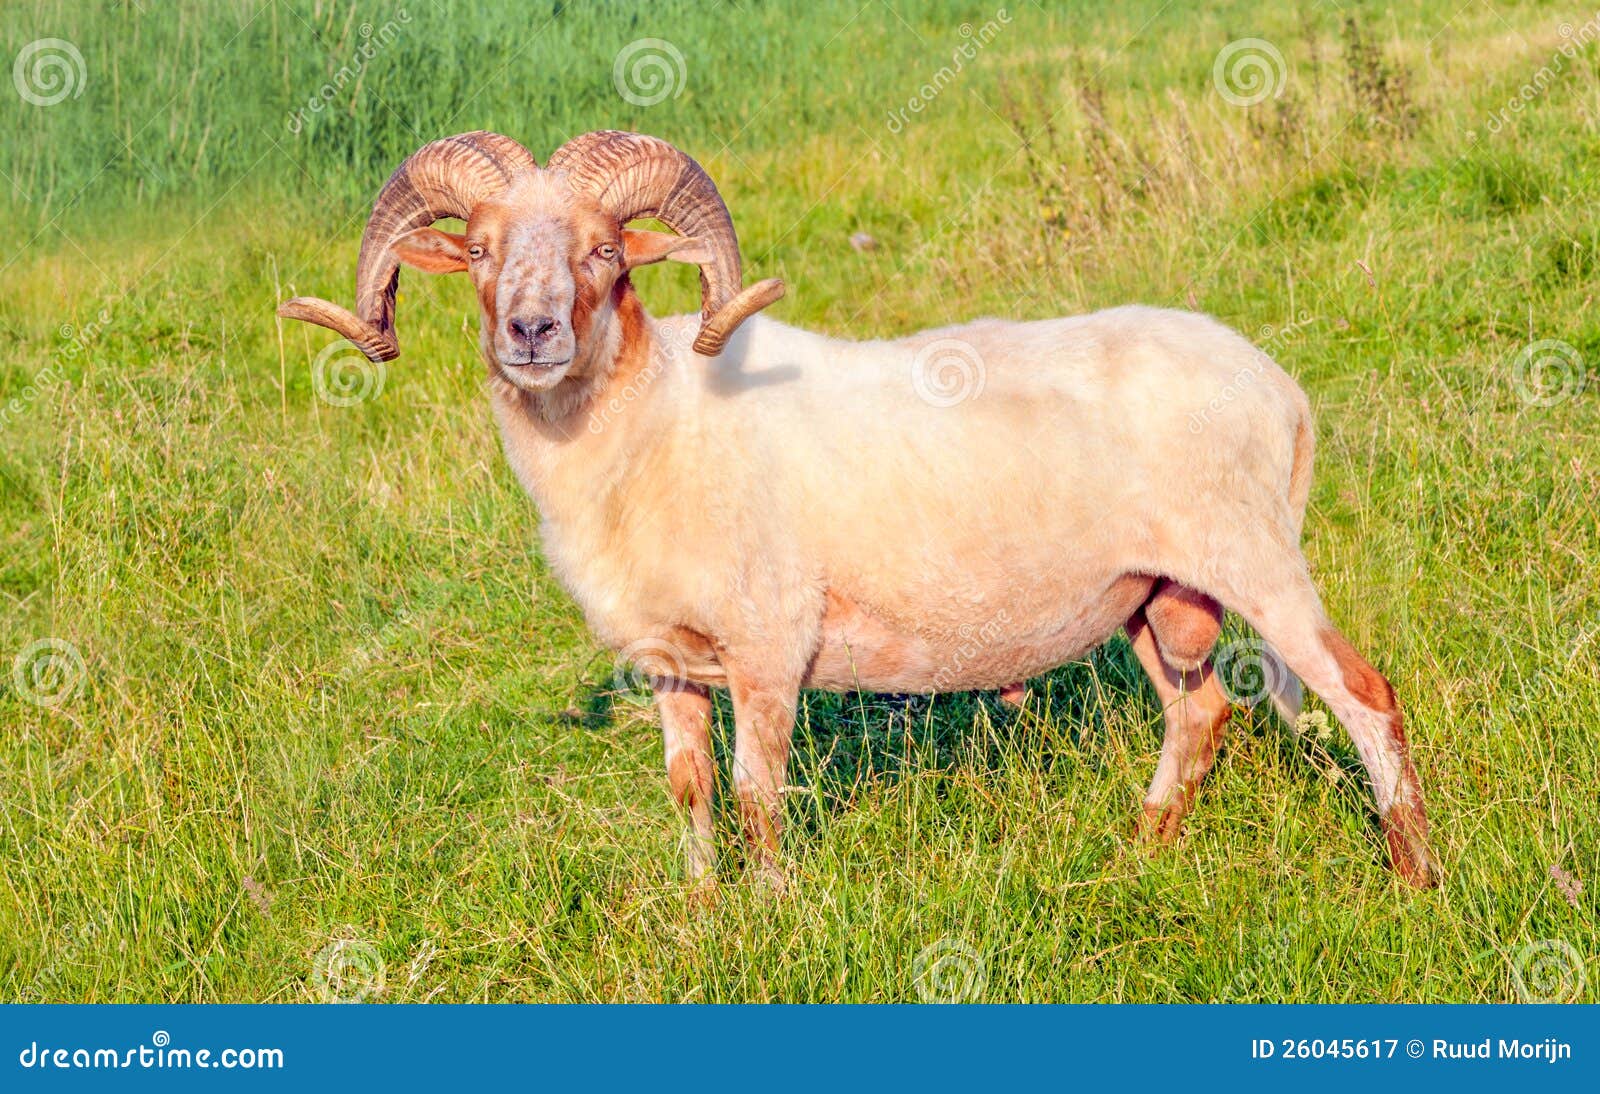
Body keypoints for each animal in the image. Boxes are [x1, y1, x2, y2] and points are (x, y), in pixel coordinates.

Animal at [278, 130, 1437, 889]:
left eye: (605, 249)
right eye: (477, 249)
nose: (530, 330)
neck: (650, 424)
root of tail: (1280, 388)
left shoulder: (768, 642)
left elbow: (756, 792)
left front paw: (774, 911)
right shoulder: (669, 658)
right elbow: (690, 788)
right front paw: (704, 911)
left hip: (1255, 558)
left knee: (1364, 695)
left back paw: (1414, 876)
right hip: (1157, 592)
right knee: (1199, 712)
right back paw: (1140, 853)